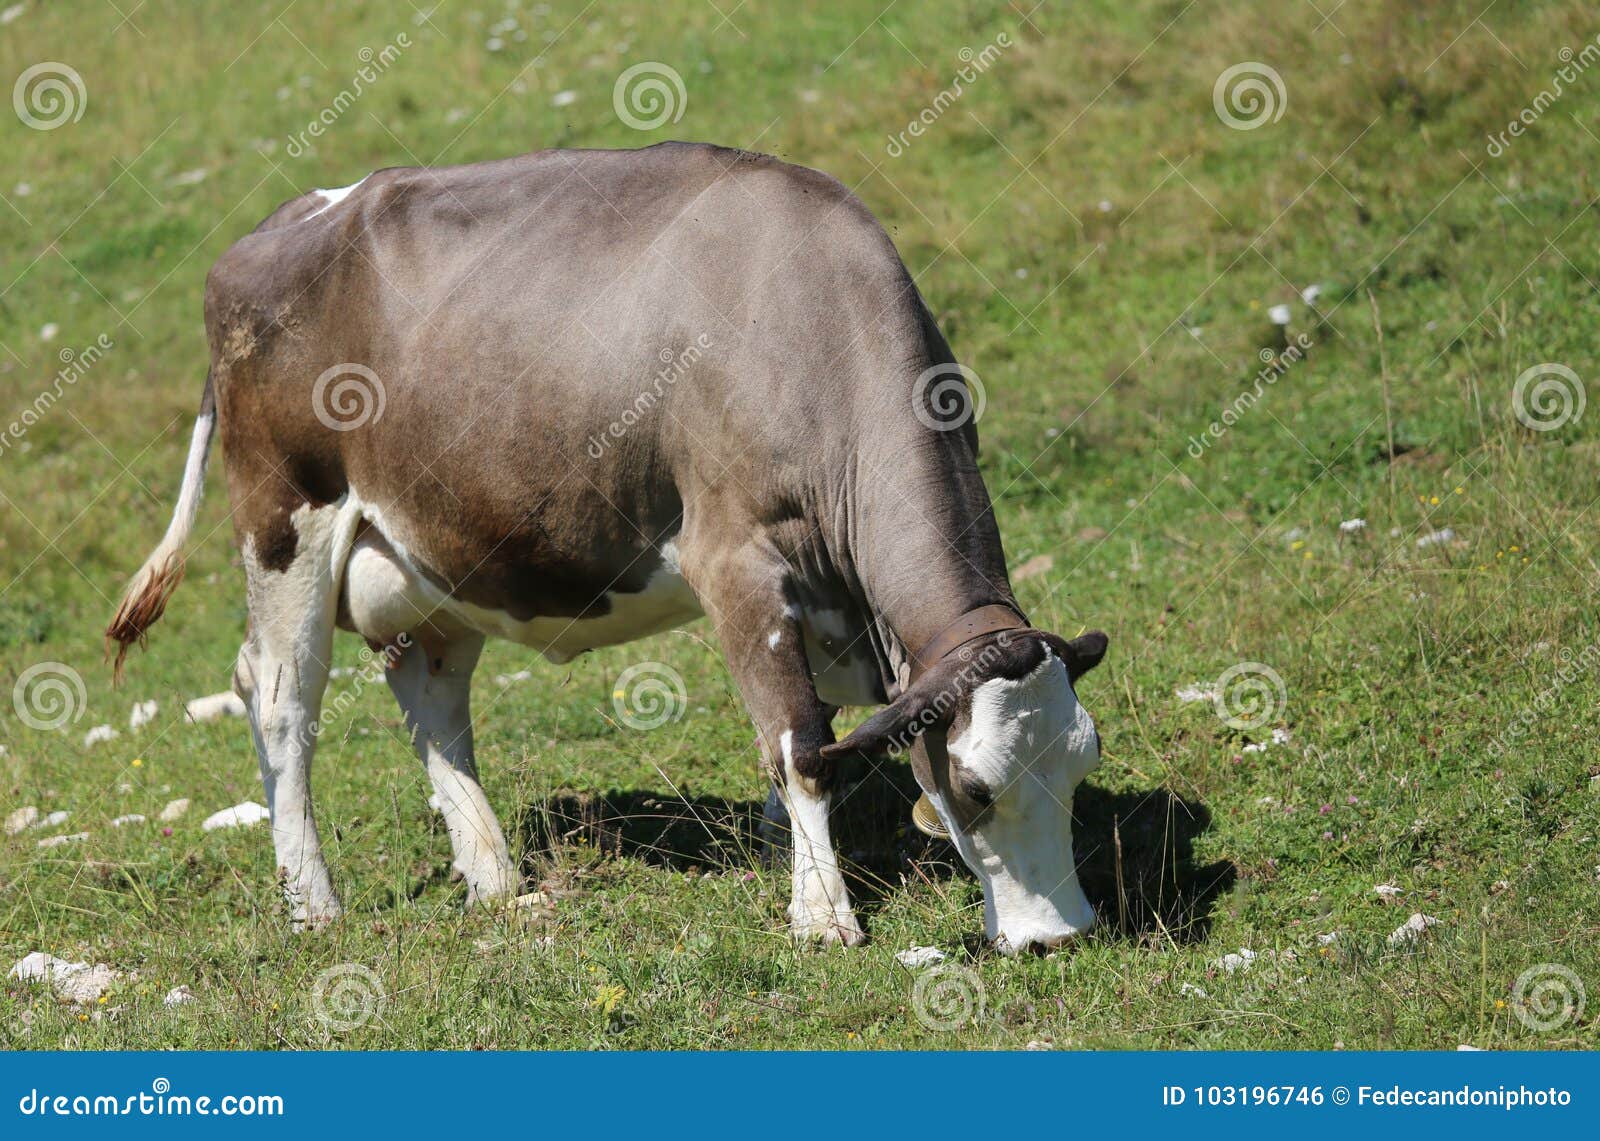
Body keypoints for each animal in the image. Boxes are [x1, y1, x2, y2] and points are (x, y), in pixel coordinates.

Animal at [106, 142, 1108, 954]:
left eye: (1082, 765)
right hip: (285, 516)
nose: (1060, 936)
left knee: (431, 697)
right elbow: (799, 742)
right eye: (974, 788)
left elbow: (823, 734)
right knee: (279, 697)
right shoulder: (734, 561)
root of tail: (278, 224)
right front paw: (823, 915)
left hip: (433, 551)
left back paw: (498, 882)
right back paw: (314, 903)